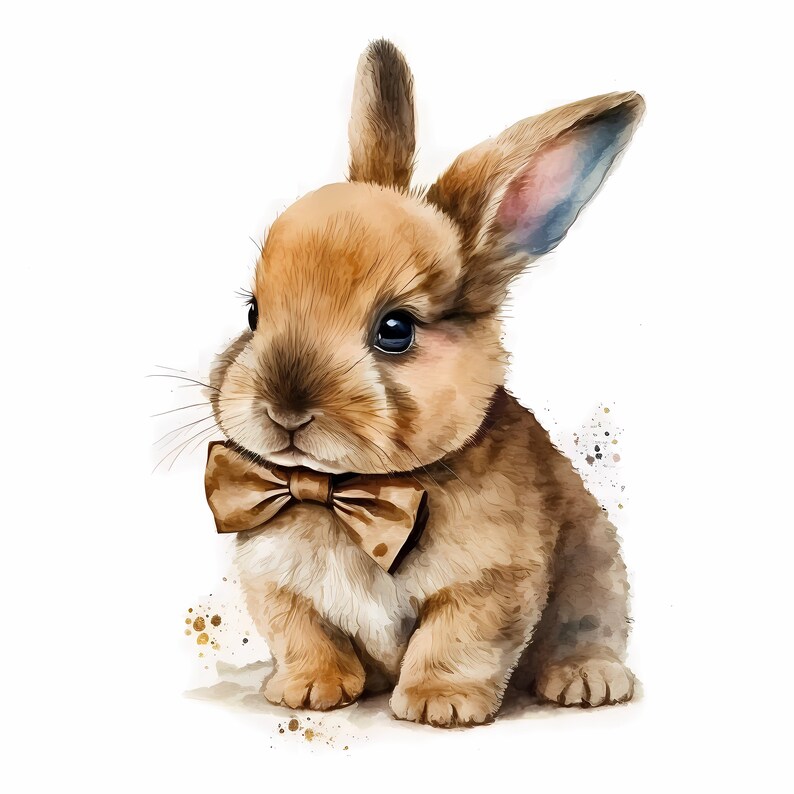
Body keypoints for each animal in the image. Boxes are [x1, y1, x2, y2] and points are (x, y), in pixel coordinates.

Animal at [206, 38, 644, 727]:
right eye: (253, 313)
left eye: (396, 329)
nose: (284, 408)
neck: (342, 494)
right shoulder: (274, 584)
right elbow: (302, 634)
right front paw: (308, 692)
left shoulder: (492, 582)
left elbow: (458, 640)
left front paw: (440, 704)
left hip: (598, 574)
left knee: (587, 632)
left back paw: (587, 681)